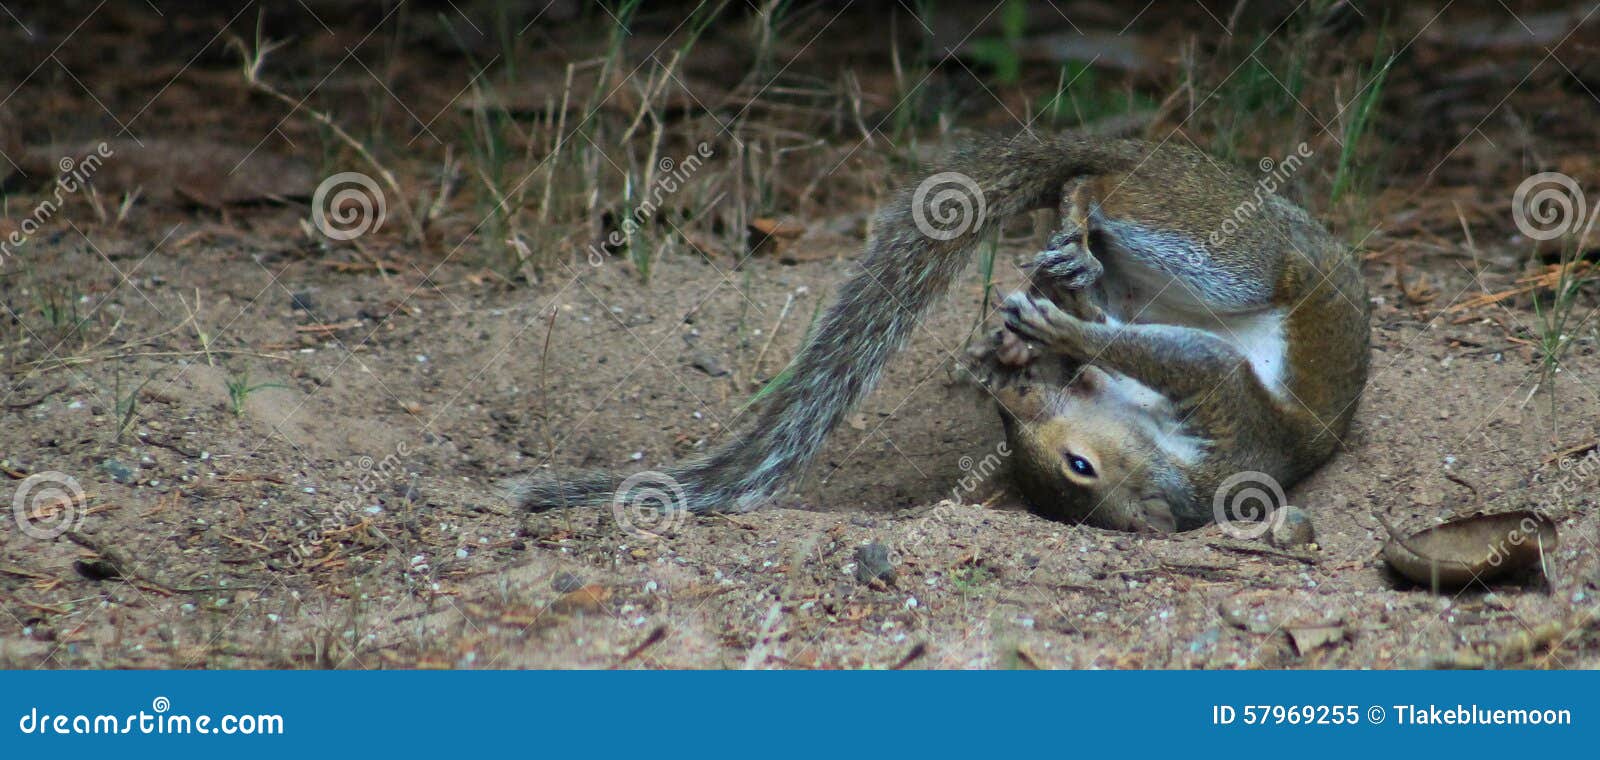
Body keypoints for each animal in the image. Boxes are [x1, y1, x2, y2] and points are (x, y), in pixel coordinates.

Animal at [510, 133, 1370, 532]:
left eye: (1078, 466)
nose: (1012, 404)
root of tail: (1149, 151)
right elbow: (1121, 336)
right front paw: (1022, 346)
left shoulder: (1223, 410)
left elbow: (1153, 350)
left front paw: (1049, 339)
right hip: (1204, 242)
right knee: (1086, 190)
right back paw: (1068, 246)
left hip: (1233, 255)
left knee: (1101, 199)